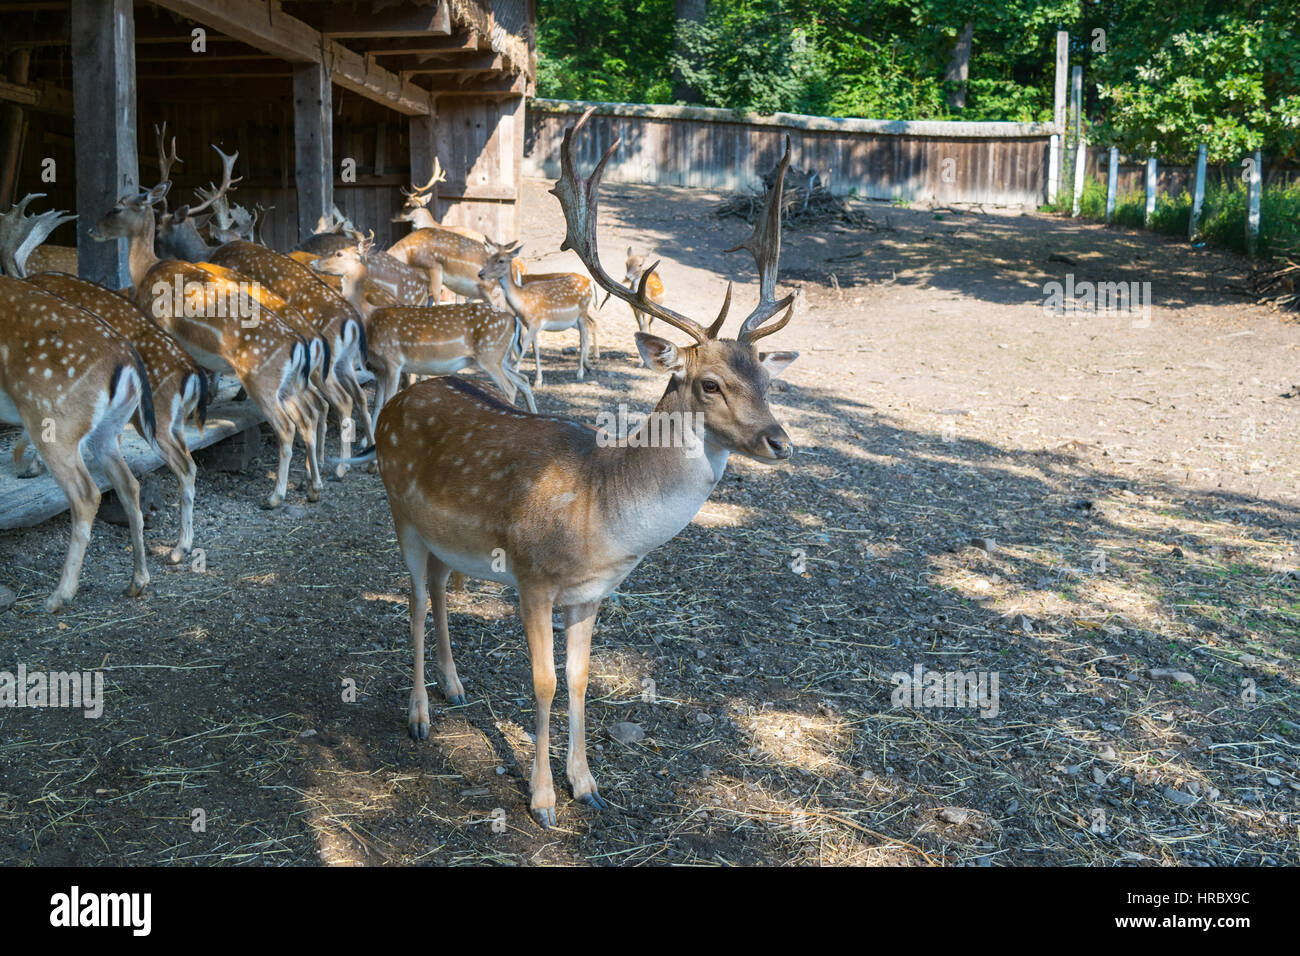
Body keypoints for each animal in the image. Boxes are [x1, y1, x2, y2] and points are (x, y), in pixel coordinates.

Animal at [0, 277, 154, 612]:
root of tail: (128, 359)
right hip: (108, 430)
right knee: (129, 484)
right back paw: (137, 582)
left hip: (53, 419)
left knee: (86, 494)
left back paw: (59, 596)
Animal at [93, 182, 323, 509]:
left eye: (116, 208)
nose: (92, 229)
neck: (147, 271)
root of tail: (299, 343)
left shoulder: (161, 325)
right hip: (288, 384)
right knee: (308, 416)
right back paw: (314, 486)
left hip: (261, 380)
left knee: (287, 426)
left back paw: (275, 496)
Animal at [309, 240, 535, 421]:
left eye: (339, 253)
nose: (313, 263)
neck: (369, 316)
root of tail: (512, 319)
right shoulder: (381, 367)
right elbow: (377, 405)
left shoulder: (393, 361)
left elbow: (387, 400)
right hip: (500, 357)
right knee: (522, 380)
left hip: (490, 355)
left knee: (510, 387)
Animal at [477, 240, 598, 387]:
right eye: (488, 259)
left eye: (501, 260)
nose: (481, 274)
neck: (523, 302)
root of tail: (590, 282)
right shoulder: (530, 325)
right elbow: (535, 349)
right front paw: (538, 380)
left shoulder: (535, 323)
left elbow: (524, 348)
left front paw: (518, 376)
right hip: (574, 319)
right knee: (587, 331)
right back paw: (587, 366)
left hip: (582, 312)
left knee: (583, 338)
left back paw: (580, 373)